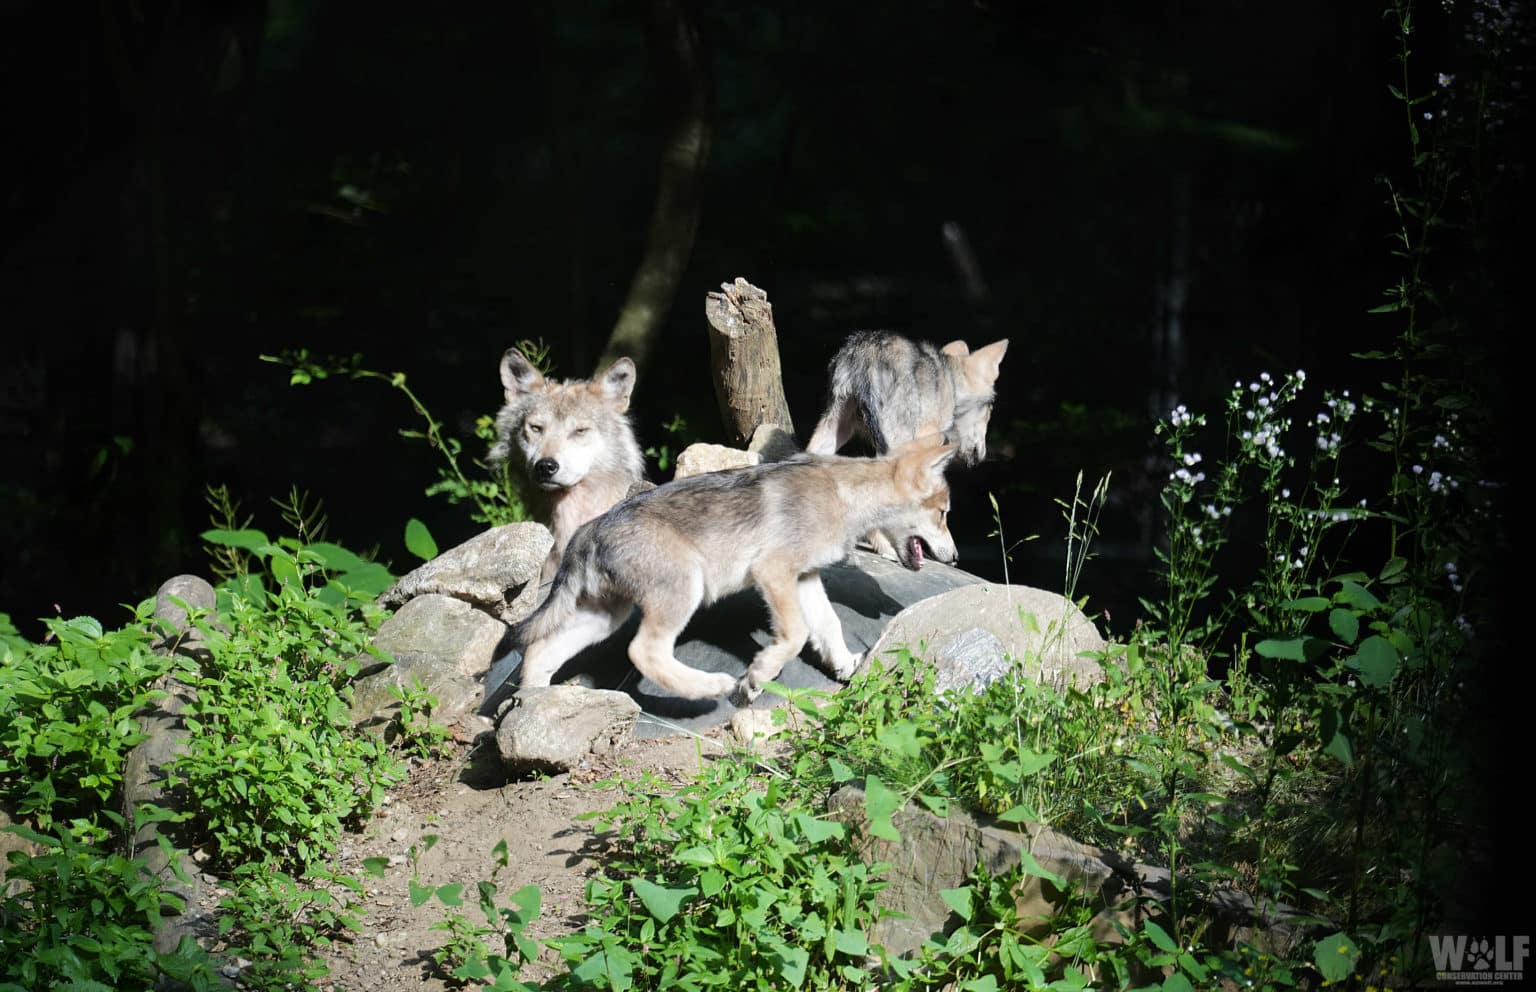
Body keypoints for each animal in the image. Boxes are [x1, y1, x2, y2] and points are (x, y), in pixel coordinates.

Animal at [515, 436, 959, 706]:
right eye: (943, 513)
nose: (955, 558)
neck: (845, 496)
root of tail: (589, 530)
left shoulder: (804, 578)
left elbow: (829, 626)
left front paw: (847, 665)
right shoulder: (773, 572)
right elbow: (795, 636)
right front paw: (757, 677)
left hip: (605, 617)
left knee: (538, 652)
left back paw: (534, 711)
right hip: (682, 594)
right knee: (643, 652)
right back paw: (712, 686)